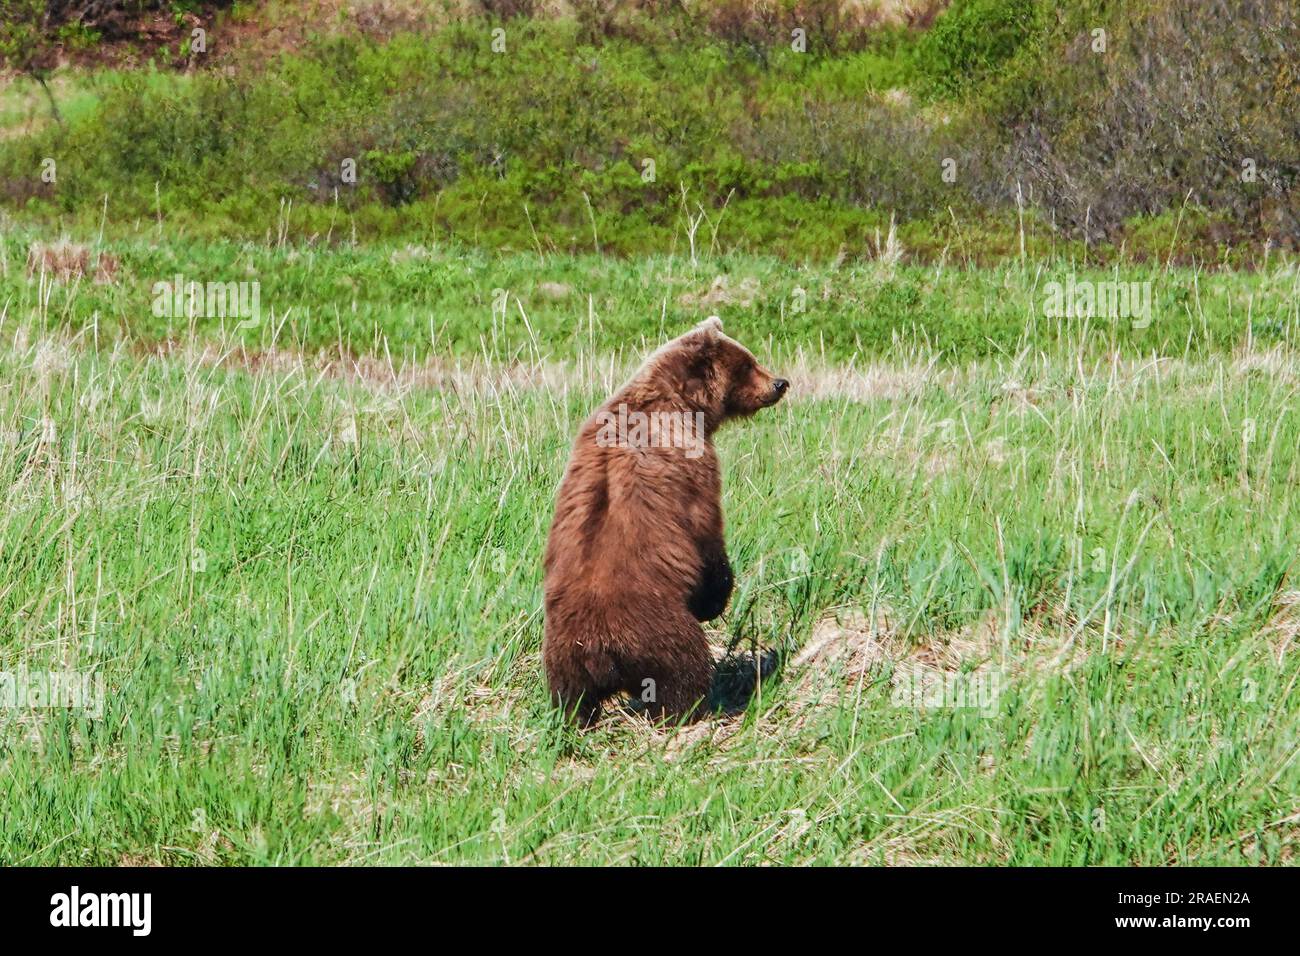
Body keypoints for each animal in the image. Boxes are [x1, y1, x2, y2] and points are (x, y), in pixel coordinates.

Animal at [543, 316, 789, 726]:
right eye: (747, 364)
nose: (780, 383)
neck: (682, 403)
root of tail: (599, 649)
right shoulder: (692, 464)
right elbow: (706, 528)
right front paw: (715, 596)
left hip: (563, 651)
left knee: (570, 695)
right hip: (657, 632)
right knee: (683, 672)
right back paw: (697, 710)